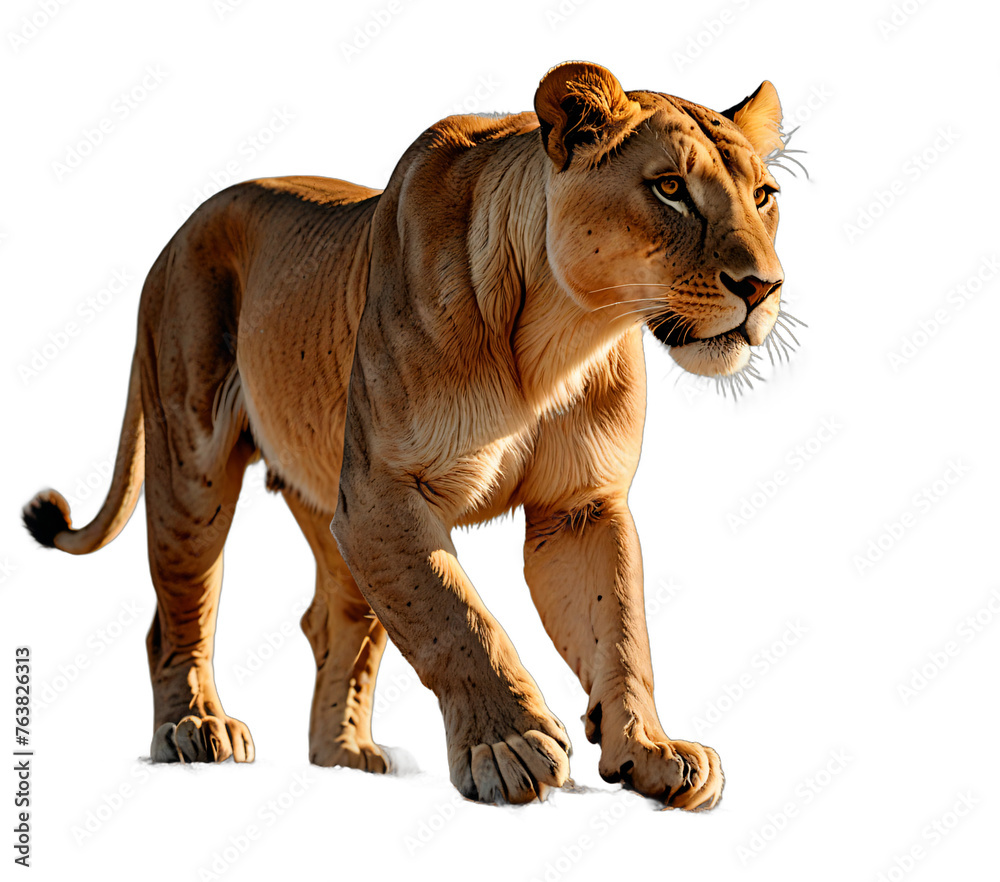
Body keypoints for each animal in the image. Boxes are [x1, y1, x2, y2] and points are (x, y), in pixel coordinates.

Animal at [23, 62, 790, 810]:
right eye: (670, 189)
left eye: (764, 195)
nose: (763, 287)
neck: (559, 340)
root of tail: (177, 232)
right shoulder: (381, 497)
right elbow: (457, 618)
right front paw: (508, 748)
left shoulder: (579, 508)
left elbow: (622, 635)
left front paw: (650, 750)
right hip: (194, 464)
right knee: (179, 610)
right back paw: (194, 727)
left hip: (324, 495)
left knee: (332, 622)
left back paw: (345, 755)